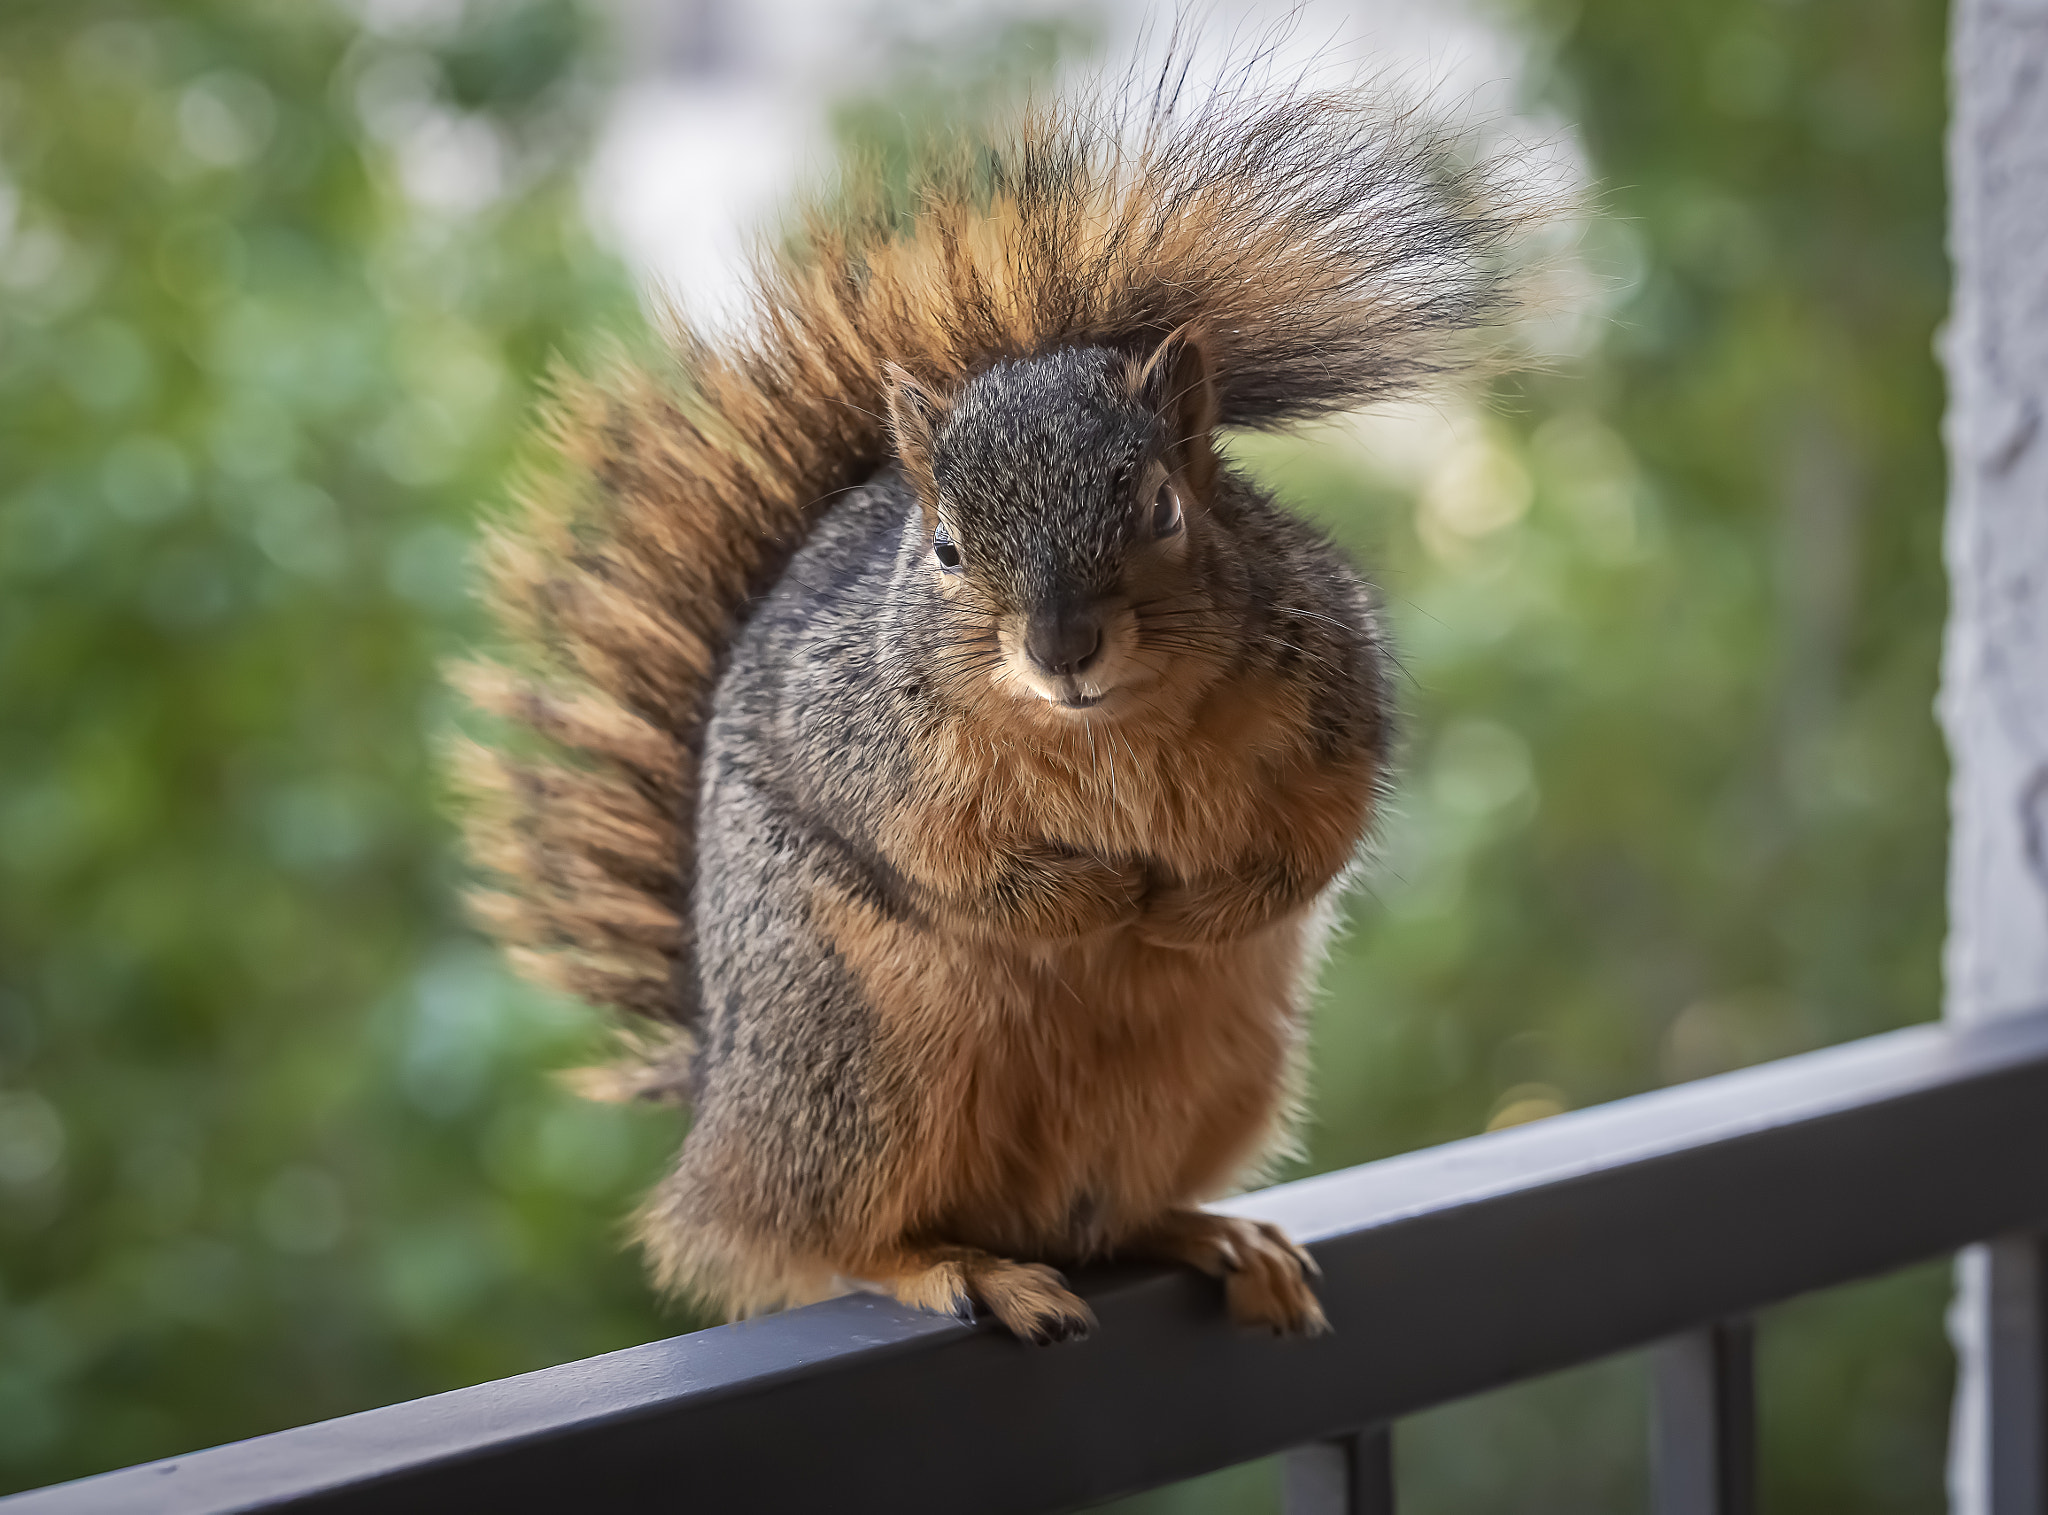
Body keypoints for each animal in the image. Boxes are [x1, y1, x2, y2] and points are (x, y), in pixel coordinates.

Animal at [454, 64, 1526, 1342]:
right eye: (948, 551)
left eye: (1164, 507)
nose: (1062, 647)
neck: (1105, 729)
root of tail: (717, 1118)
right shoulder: (860, 750)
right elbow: (952, 869)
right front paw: (1101, 897)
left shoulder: (1333, 702)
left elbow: (1308, 849)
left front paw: (1183, 914)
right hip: (854, 1065)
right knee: (829, 1239)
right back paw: (957, 1267)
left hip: (1210, 1083)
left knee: (1103, 1220)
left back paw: (1209, 1233)